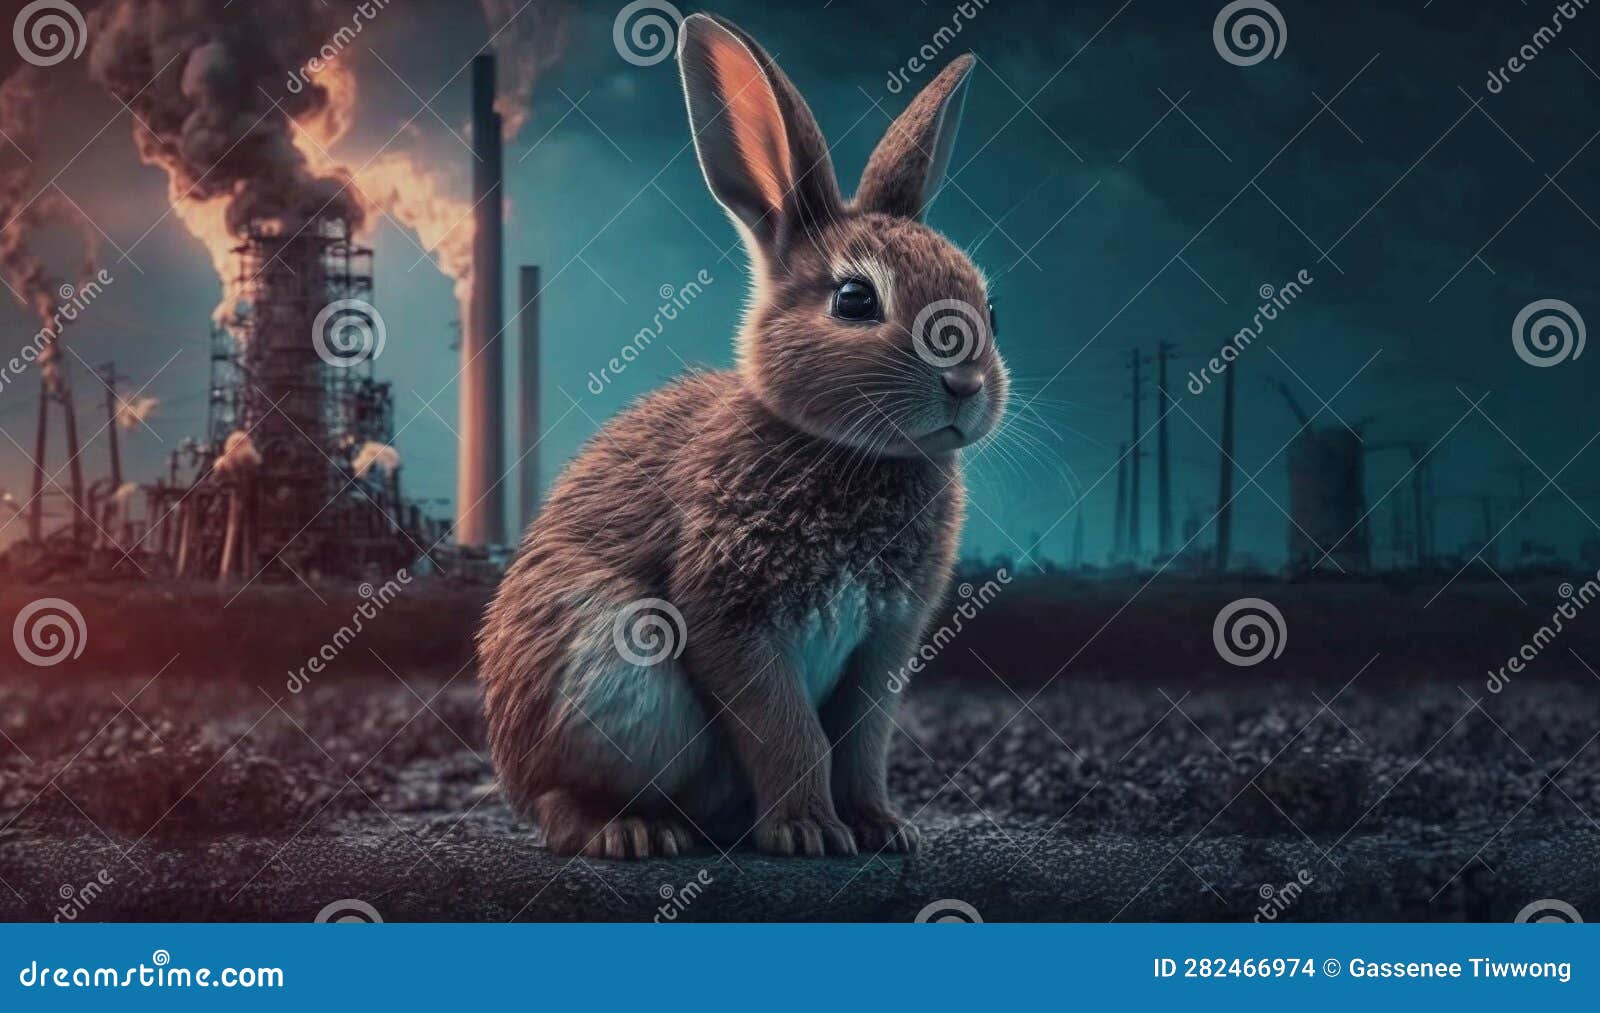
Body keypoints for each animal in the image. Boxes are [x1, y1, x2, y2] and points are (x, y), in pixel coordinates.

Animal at [477, 12, 1007, 859]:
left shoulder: (885, 641)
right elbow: (788, 731)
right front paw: (811, 832)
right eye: (855, 299)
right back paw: (633, 832)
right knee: (560, 803)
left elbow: (862, 741)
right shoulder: (732, 614)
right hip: (612, 667)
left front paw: (883, 827)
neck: (844, 448)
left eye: (991, 311)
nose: (966, 386)